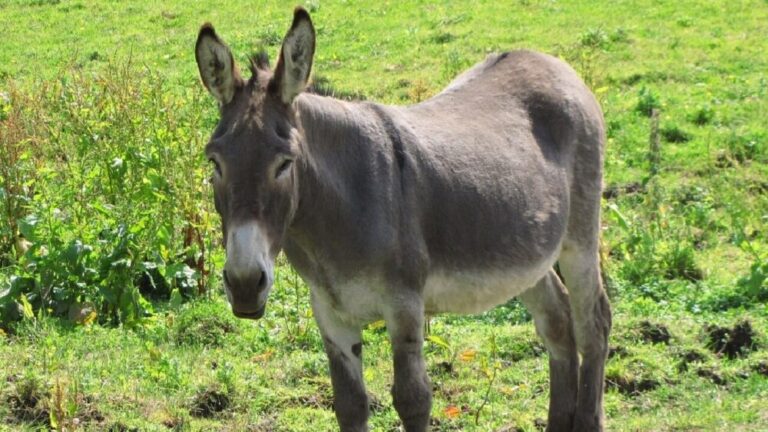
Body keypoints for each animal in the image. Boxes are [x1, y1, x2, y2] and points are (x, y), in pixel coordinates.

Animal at [194, 7, 610, 432]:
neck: (335, 221)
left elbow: (413, 399)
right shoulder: (331, 315)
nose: (245, 285)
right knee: (557, 322)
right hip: (529, 255)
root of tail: (547, 60)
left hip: (579, 238)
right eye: (214, 162)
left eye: (284, 163)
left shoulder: (405, 306)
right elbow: (349, 404)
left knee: (593, 322)